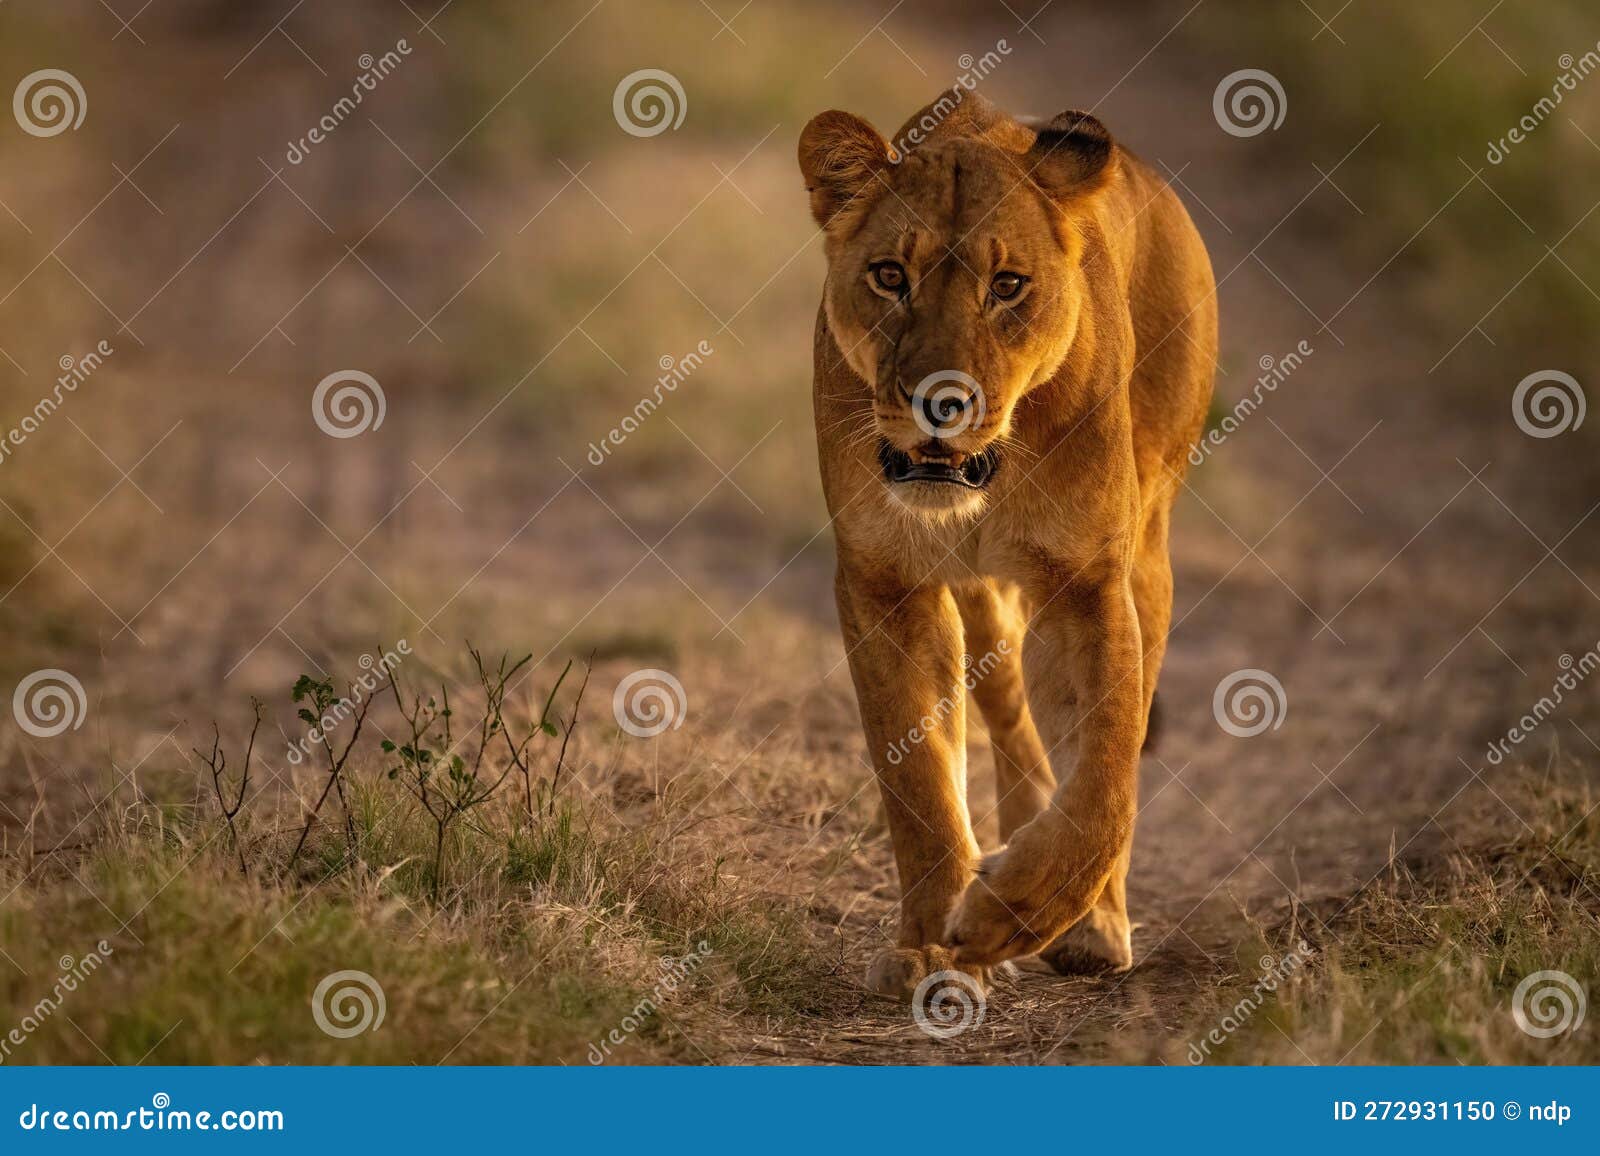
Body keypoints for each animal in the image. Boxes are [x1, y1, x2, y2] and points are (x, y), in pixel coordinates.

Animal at [798, 89, 1217, 998]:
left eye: (1008, 286)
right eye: (891, 276)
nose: (940, 403)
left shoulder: (1088, 583)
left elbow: (1106, 771)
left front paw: (1024, 916)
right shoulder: (883, 581)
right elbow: (916, 779)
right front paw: (932, 947)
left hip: (1150, 550)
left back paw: (1089, 919)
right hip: (981, 597)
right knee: (1013, 711)